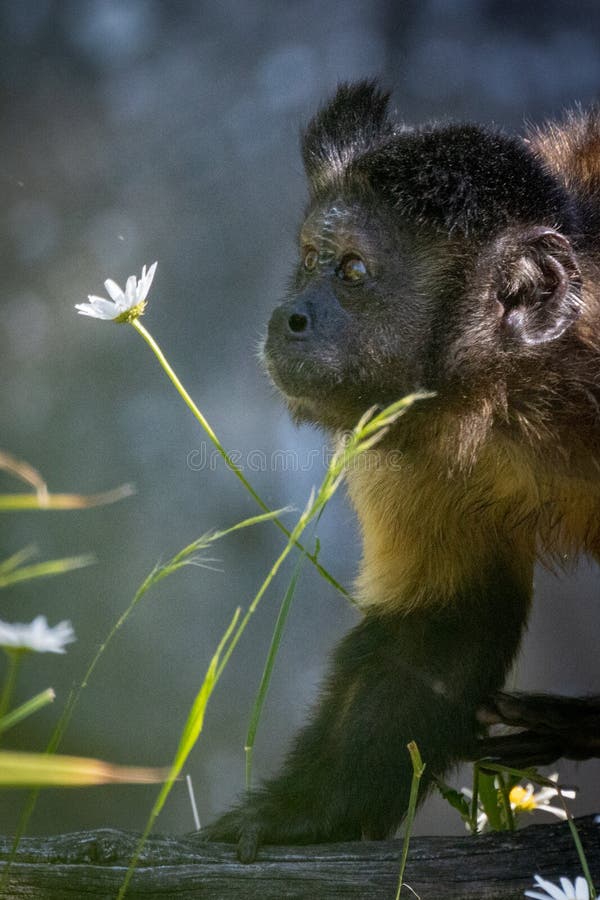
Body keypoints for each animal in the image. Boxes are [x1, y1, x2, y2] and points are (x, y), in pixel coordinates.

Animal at [202, 81, 600, 863]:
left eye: (353, 273)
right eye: (311, 258)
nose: (289, 315)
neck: (532, 391)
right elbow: (445, 621)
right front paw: (302, 811)